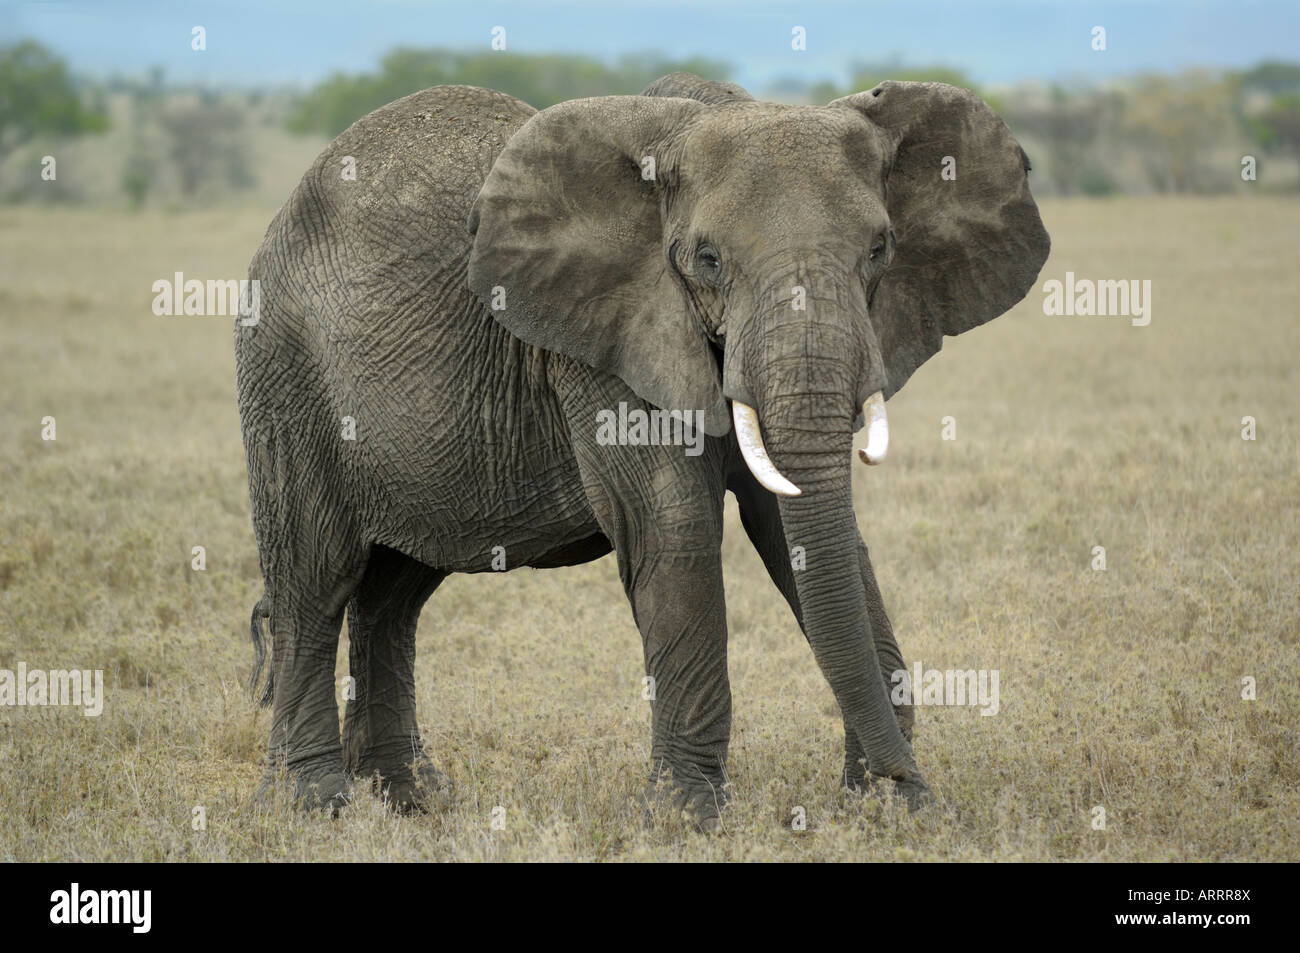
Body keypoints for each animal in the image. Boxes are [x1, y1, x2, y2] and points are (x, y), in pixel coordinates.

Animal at [236, 71, 1049, 824]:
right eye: (708, 259)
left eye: (880, 249)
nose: (905, 791)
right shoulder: (605, 337)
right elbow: (673, 525)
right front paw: (688, 818)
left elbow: (803, 531)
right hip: (285, 373)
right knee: (315, 580)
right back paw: (313, 804)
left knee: (395, 592)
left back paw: (411, 800)